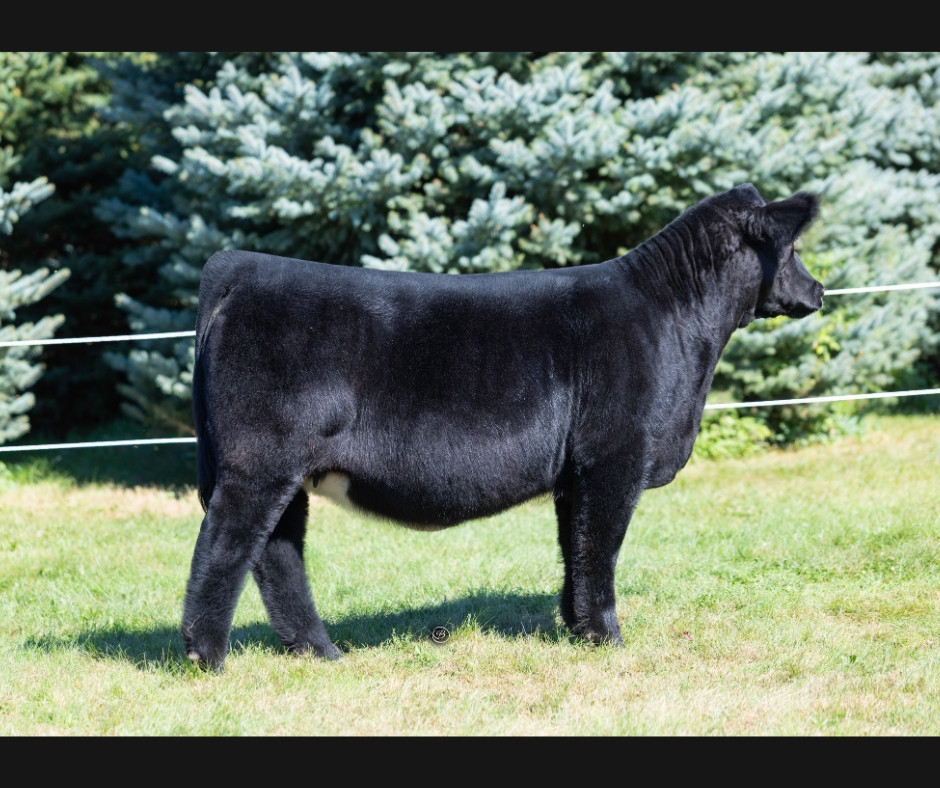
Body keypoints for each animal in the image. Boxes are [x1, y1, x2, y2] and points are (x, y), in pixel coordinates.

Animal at [182, 183, 824, 671]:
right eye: (792, 249)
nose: (817, 290)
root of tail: (240, 266)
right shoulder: (614, 459)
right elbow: (601, 550)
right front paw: (608, 639)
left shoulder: (574, 474)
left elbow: (575, 548)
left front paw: (576, 629)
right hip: (259, 463)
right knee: (226, 546)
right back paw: (206, 658)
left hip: (284, 472)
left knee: (276, 553)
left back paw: (321, 652)